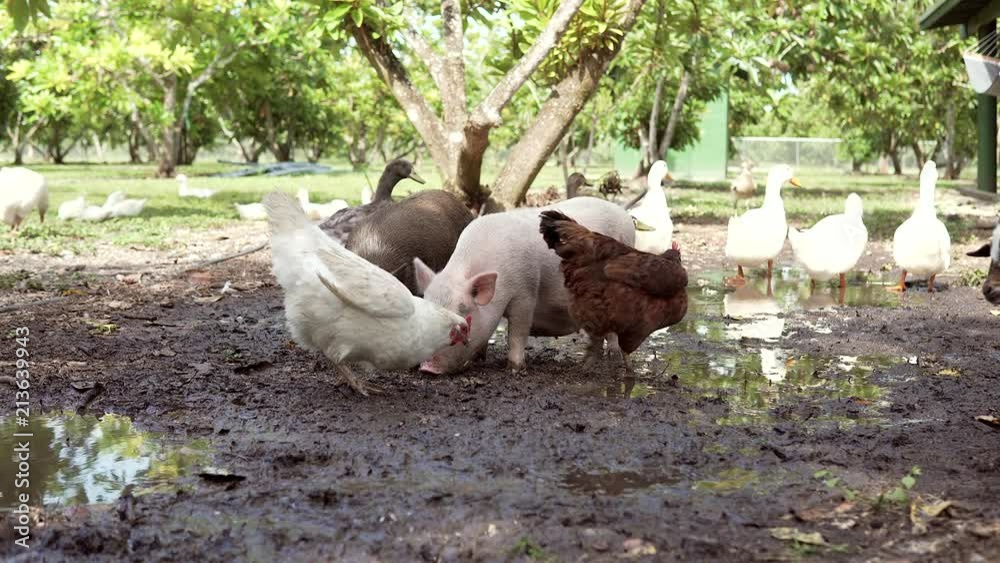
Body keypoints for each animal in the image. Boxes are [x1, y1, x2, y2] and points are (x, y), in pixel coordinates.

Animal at [414, 196, 636, 374]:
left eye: (462, 320)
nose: (426, 368)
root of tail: (624, 213)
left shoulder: (525, 292)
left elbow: (517, 332)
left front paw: (515, 369)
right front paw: (478, 359)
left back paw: (613, 356)